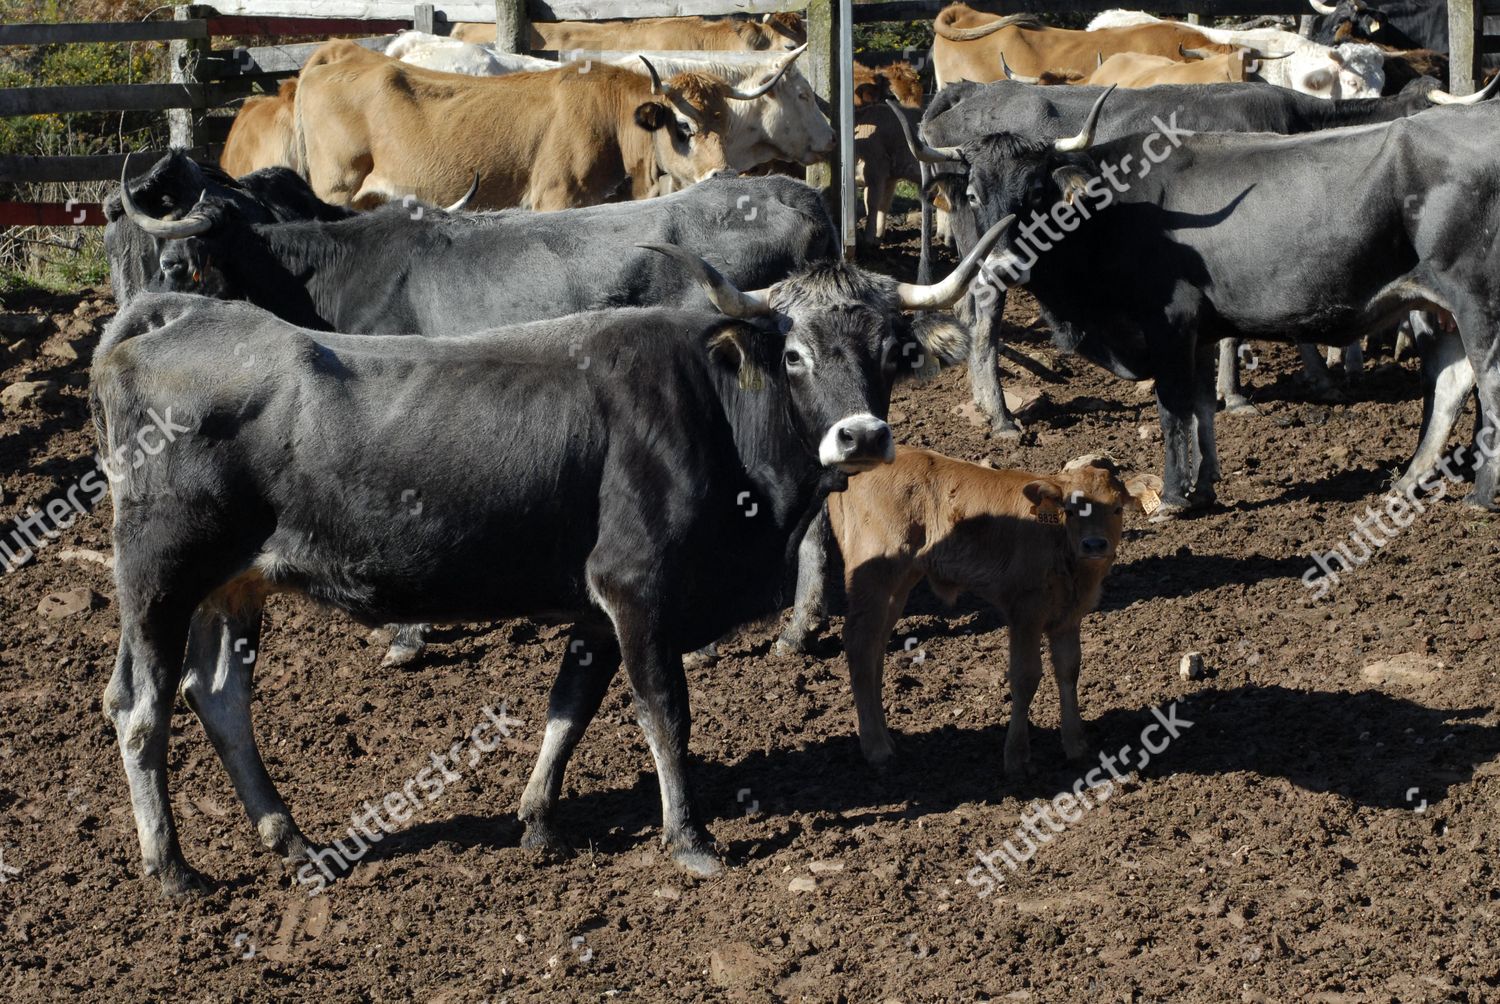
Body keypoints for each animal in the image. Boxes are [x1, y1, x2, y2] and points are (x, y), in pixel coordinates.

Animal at [91, 214, 1015, 895]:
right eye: (794, 352)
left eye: (890, 348)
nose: (862, 436)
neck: (715, 410)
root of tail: (178, 317)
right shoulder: (637, 589)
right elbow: (663, 713)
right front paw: (690, 837)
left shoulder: (595, 606)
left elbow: (569, 707)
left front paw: (537, 819)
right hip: (159, 580)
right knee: (140, 708)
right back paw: (172, 867)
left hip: (231, 587)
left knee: (219, 698)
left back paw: (287, 837)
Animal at [822, 449, 1158, 773]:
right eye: (1072, 510)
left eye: (1117, 509)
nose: (1094, 544)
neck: (1060, 545)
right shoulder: (1025, 612)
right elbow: (1025, 677)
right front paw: (1017, 756)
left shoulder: (1069, 616)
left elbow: (1069, 670)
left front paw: (1075, 745)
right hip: (874, 570)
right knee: (859, 642)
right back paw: (877, 748)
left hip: (900, 581)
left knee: (875, 645)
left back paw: (886, 739)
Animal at [908, 88, 1500, 517]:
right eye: (976, 194)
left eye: (1037, 195)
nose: (1003, 263)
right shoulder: (1198, 331)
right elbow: (1201, 407)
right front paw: (1207, 485)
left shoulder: (1168, 325)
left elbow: (1173, 409)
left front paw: (1173, 496)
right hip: (1441, 309)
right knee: (1451, 382)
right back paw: (1407, 480)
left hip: (1476, 302)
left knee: (1486, 386)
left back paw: (1481, 495)